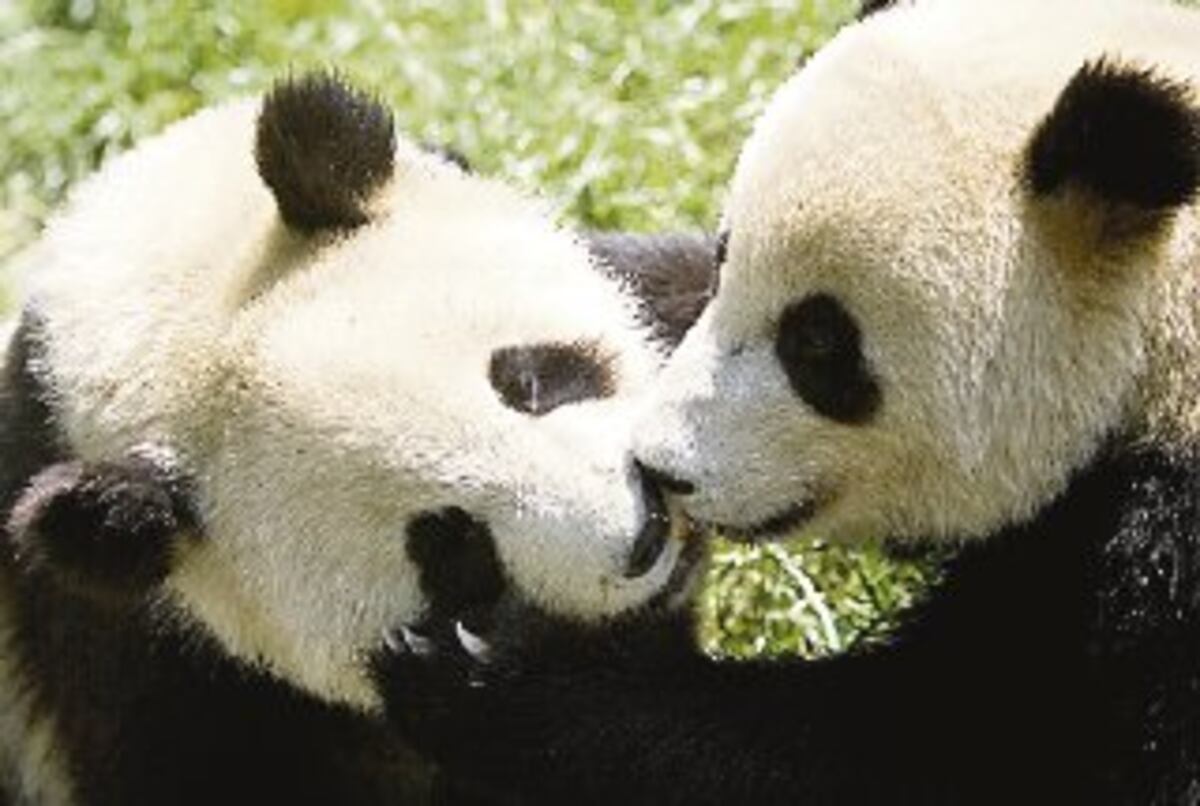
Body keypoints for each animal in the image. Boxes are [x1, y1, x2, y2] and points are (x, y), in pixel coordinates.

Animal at [377, 2, 1200, 804]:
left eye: (818, 344)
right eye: (724, 260)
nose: (659, 468)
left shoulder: (1160, 562)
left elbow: (958, 749)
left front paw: (495, 667)